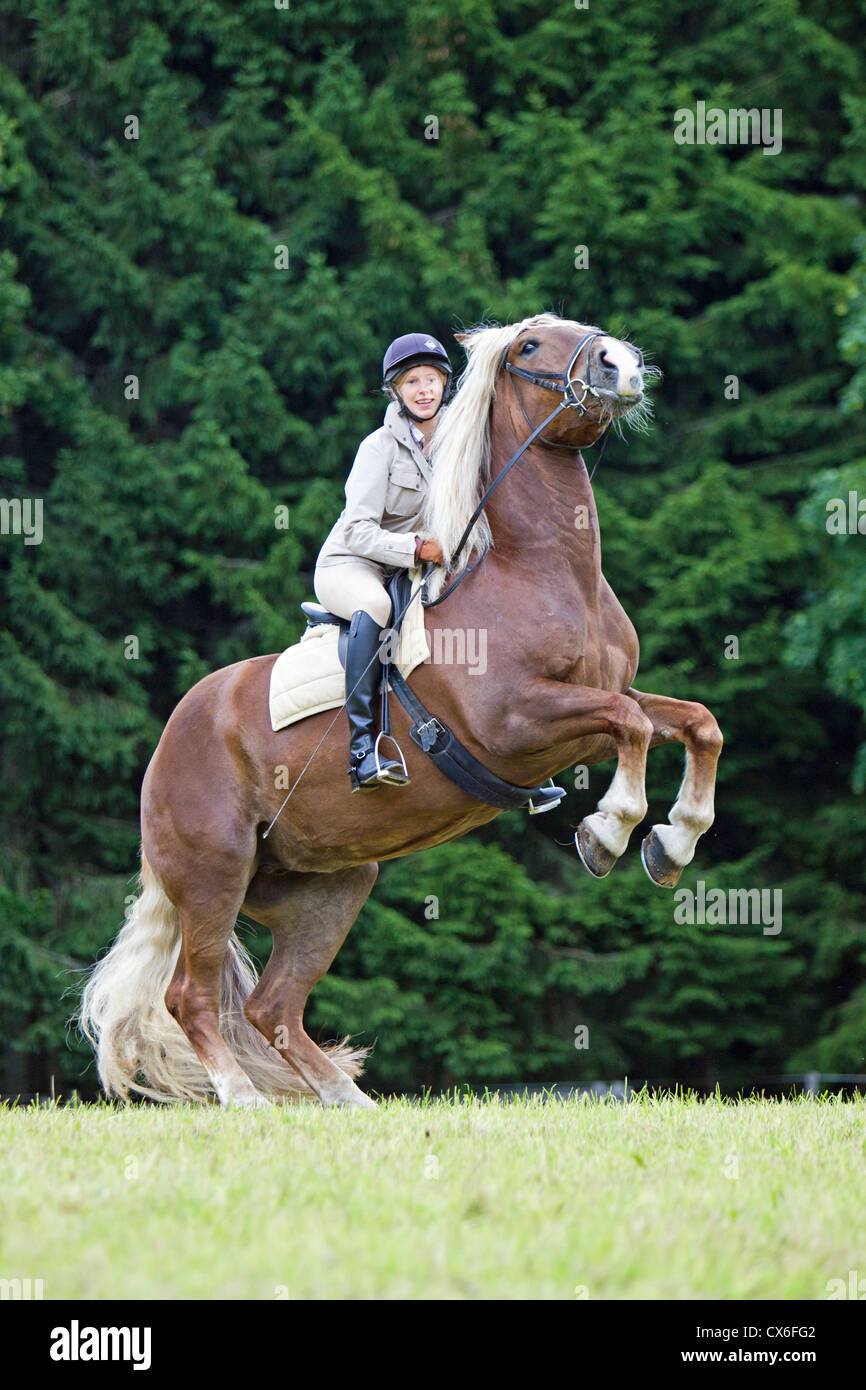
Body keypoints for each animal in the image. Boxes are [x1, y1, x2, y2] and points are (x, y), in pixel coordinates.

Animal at [79, 312, 723, 1110]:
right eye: (529, 345)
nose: (619, 364)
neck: (542, 573)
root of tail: (170, 742)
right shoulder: (522, 724)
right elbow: (633, 729)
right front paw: (608, 832)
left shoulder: (597, 713)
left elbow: (694, 722)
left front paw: (673, 841)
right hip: (214, 876)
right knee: (191, 999)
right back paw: (243, 1097)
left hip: (329, 886)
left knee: (271, 1007)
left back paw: (347, 1101)